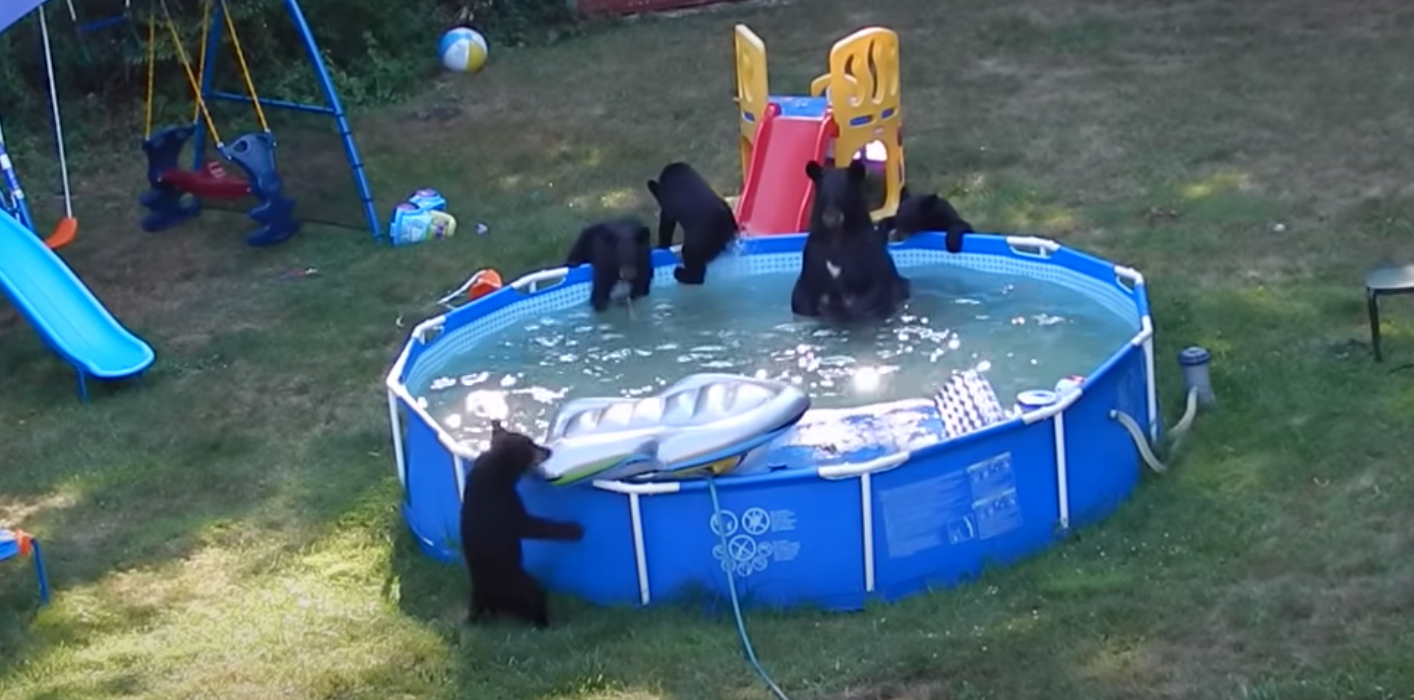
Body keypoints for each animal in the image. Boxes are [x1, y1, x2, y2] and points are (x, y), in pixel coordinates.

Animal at [460, 420, 584, 629]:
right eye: (531, 445)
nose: (549, 450)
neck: (495, 466)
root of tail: (482, 595)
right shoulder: (510, 514)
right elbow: (537, 527)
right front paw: (573, 530)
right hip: (523, 585)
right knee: (536, 600)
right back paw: (547, 626)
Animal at [791, 160, 910, 324]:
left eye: (843, 195)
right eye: (822, 196)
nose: (831, 218)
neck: (836, 235)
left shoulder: (866, 253)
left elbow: (873, 287)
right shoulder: (813, 255)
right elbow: (803, 294)